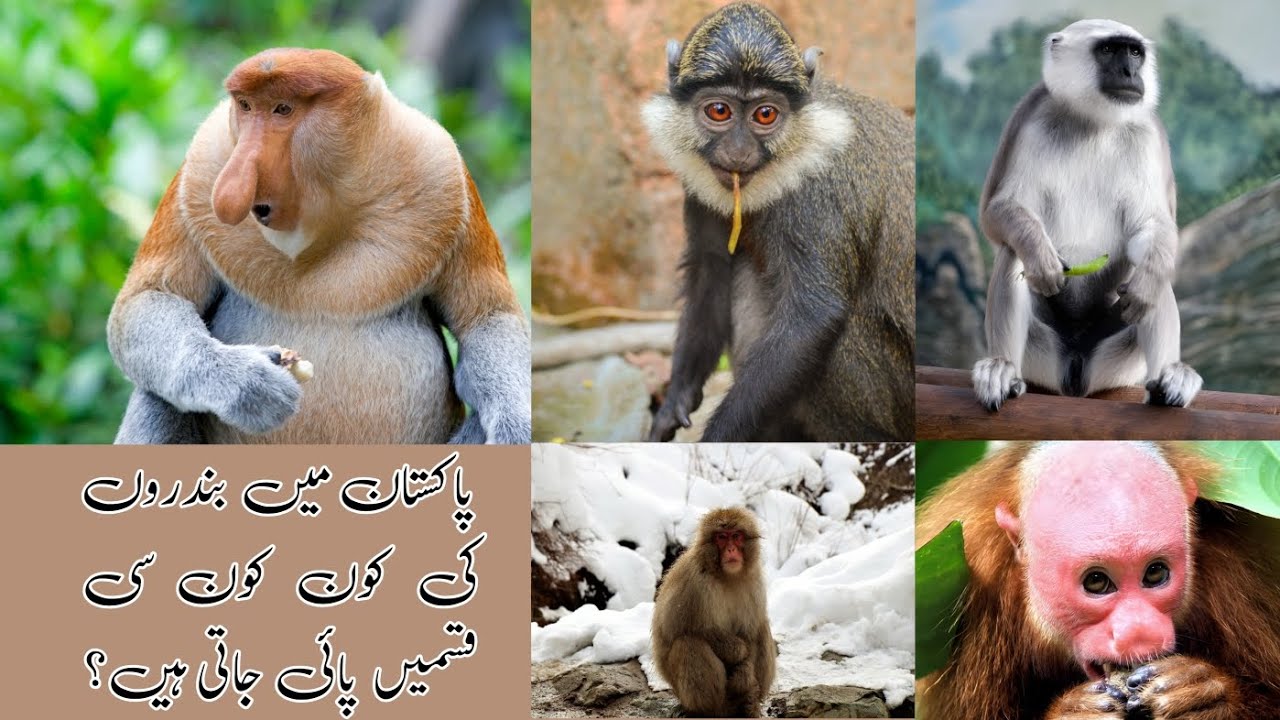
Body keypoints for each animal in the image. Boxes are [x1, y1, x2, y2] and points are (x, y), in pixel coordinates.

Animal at [106, 48, 530, 444]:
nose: (229, 190)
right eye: (245, 107)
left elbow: (487, 318)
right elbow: (148, 299)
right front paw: (247, 382)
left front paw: (517, 428)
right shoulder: (202, 166)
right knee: (157, 393)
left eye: (283, 109)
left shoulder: (442, 171)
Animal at [640, 2, 914, 442]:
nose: (738, 151)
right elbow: (710, 274)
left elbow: (812, 317)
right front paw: (673, 403)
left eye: (765, 114)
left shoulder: (818, 196)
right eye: (719, 110)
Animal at [651, 506, 775, 717]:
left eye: (736, 536)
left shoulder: (754, 582)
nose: (731, 549)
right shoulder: (694, 582)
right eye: (721, 538)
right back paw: (708, 709)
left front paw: (744, 674)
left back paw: (749, 702)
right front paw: (738, 650)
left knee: (762, 627)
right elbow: (680, 629)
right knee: (687, 643)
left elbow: (751, 632)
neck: (726, 576)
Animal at [916, 441, 1280, 719]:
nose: (1139, 633)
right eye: (1096, 582)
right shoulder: (970, 606)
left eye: (1155, 573)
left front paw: (1206, 696)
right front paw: (1073, 713)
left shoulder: (1241, 574)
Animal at [972, 19, 1203, 412]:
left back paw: (1168, 380)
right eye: (1109, 51)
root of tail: (1075, 368)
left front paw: (1147, 281)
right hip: (1043, 354)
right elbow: (997, 213)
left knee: (1153, 273)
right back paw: (1003, 370)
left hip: (1116, 361)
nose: (1129, 72)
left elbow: (1150, 230)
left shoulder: (1146, 133)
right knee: (1013, 252)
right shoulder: (1033, 116)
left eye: (1135, 53)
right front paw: (1040, 256)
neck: (1092, 121)